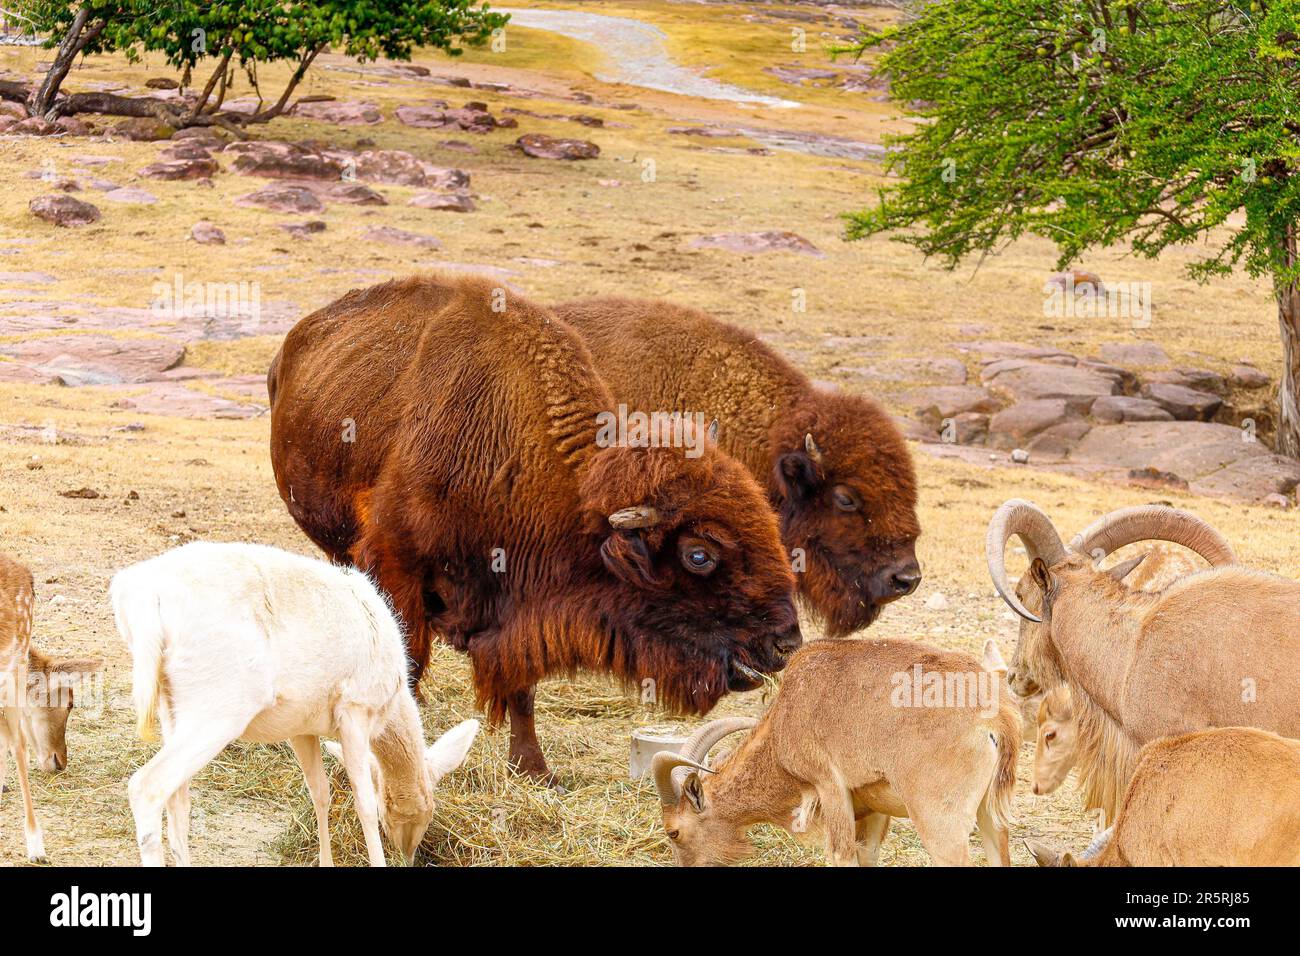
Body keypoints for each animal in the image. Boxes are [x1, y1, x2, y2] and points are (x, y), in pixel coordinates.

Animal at [111, 541, 479, 867]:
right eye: (428, 805)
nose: (409, 853)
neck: (390, 703)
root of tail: (142, 602)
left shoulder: (302, 727)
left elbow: (320, 792)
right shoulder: (355, 709)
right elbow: (364, 802)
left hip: (171, 706)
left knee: (178, 798)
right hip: (219, 706)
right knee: (146, 786)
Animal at [652, 638, 1021, 866]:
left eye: (673, 831)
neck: (785, 720)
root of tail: (996, 714)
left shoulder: (829, 788)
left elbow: (841, 855)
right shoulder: (872, 809)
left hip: (939, 823)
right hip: (990, 816)